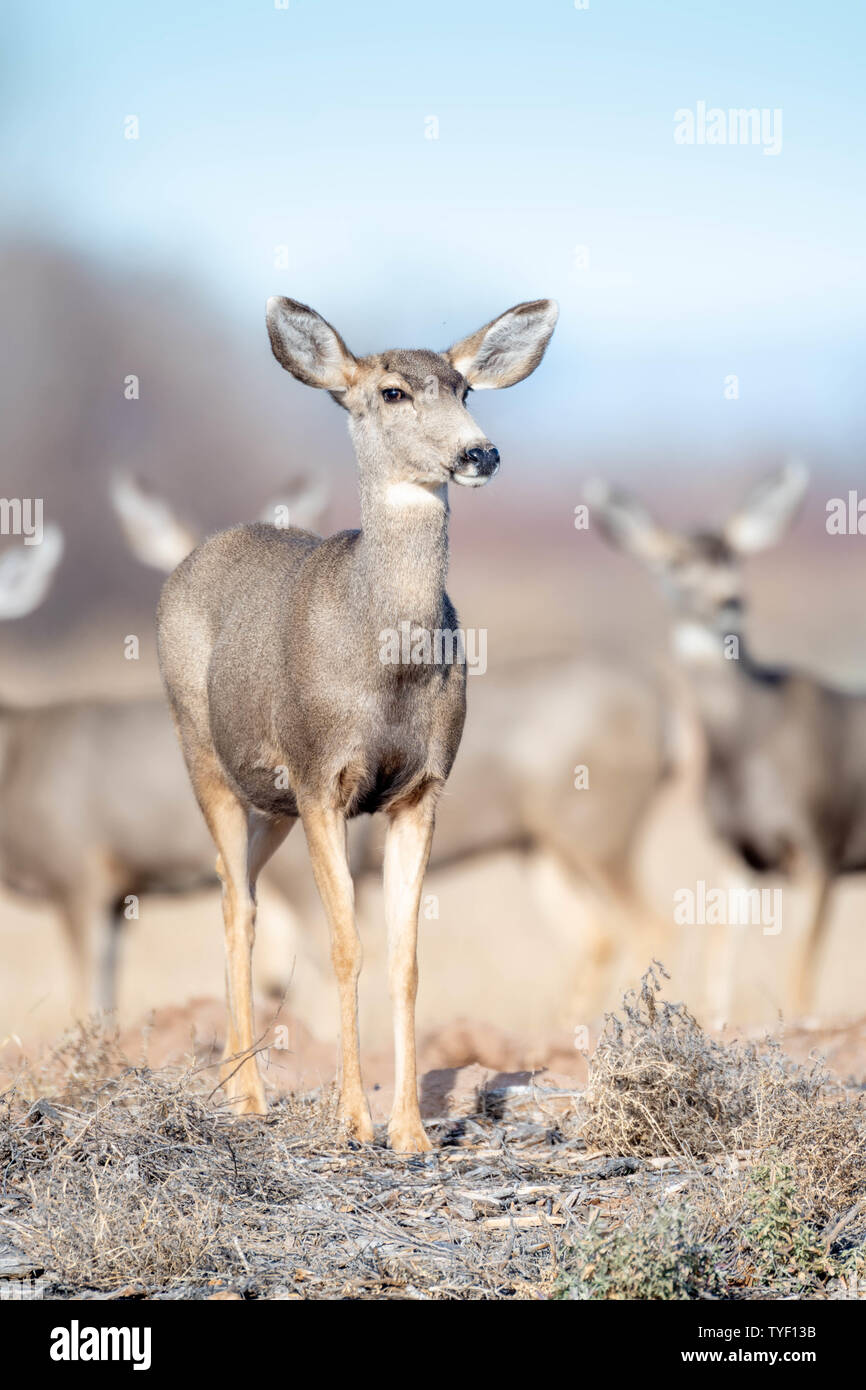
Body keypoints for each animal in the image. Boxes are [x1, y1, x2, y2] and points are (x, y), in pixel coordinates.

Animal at [156, 295, 558, 1149]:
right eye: (391, 392)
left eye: (463, 388)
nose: (481, 452)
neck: (387, 666)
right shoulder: (320, 776)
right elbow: (345, 947)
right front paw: (353, 1122)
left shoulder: (420, 787)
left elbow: (407, 957)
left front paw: (410, 1131)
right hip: (203, 752)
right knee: (236, 905)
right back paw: (247, 1098)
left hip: (270, 804)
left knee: (242, 889)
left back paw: (239, 1083)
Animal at [586, 461, 866, 1016]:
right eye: (673, 563)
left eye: (733, 556)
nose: (729, 601)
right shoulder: (736, 850)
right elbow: (720, 950)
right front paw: (715, 1022)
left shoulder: (822, 841)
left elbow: (799, 971)